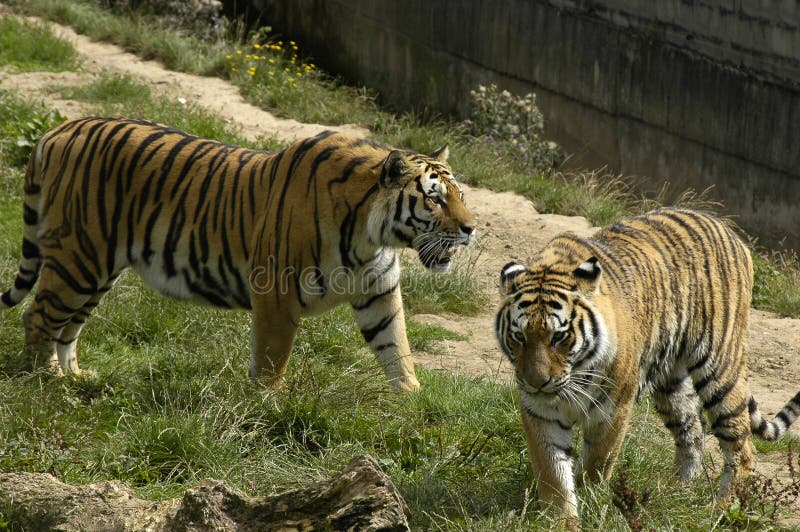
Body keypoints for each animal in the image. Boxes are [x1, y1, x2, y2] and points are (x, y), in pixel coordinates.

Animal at [1, 116, 476, 391]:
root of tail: (58, 130)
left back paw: (75, 377)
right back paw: (44, 381)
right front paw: (269, 408)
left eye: (460, 195)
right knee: (38, 316)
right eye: (434, 200)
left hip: (98, 267)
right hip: (80, 258)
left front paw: (412, 405)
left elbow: (397, 349)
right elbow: (271, 359)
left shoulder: (379, 292)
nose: (471, 229)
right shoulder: (277, 294)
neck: (371, 236)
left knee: (69, 325)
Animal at [494, 207, 800, 525]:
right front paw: (561, 520)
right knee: (693, 432)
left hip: (718, 369)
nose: (536, 382)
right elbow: (553, 472)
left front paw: (589, 496)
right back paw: (677, 491)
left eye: (559, 337)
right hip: (672, 386)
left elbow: (597, 462)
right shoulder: (540, 412)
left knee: (742, 447)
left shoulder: (612, 408)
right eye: (519, 337)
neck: (574, 375)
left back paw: (718, 510)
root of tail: (726, 228)